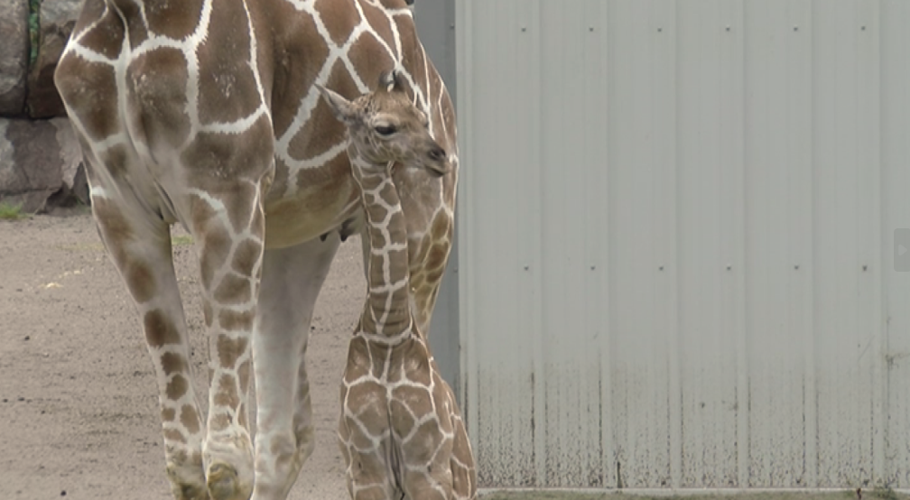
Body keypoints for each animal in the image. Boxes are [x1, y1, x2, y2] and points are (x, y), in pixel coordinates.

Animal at [52, 1, 458, 499]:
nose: (436, 153)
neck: (132, 14)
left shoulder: (227, 191)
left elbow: (225, 467)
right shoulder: (120, 206)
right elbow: (186, 465)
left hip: (427, 225)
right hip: (296, 241)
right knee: (287, 435)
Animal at [317, 71, 475, 500]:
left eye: (422, 116)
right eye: (384, 128)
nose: (440, 157)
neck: (387, 336)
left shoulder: (428, 467)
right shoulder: (365, 468)